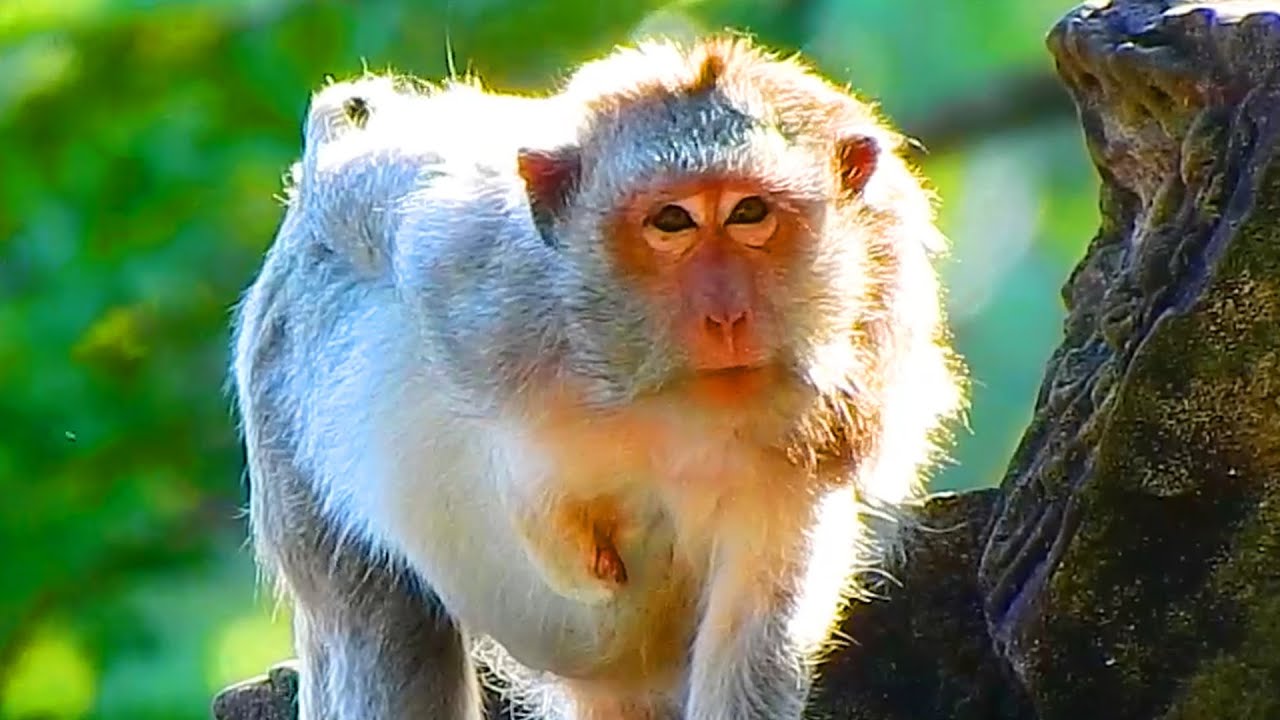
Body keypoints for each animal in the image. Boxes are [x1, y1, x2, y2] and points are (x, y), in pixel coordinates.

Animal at [230, 35, 963, 720]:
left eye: (750, 214)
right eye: (672, 221)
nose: (726, 314)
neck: (661, 399)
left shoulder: (853, 389)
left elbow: (759, 632)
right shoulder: (485, 274)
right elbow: (374, 196)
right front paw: (544, 513)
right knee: (379, 624)